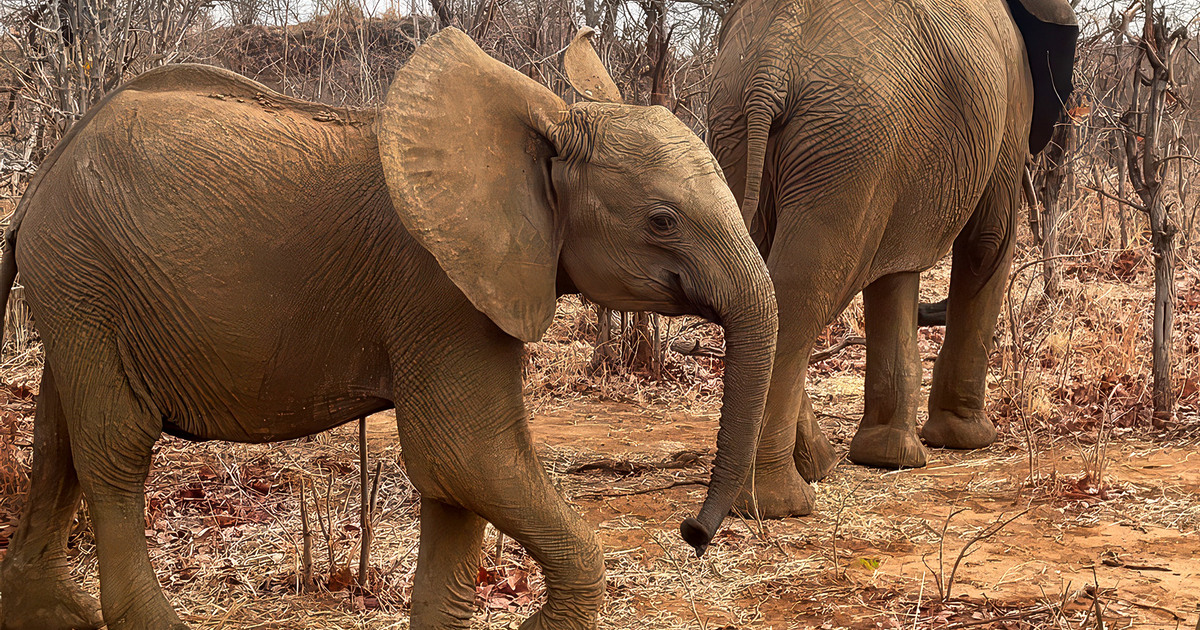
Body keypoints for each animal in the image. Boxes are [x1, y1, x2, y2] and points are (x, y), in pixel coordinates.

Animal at [0, 27, 777, 630]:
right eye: (662, 220)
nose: (693, 532)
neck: (545, 127)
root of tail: (40, 180)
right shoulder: (437, 288)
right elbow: (466, 458)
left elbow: (456, 486)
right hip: (83, 270)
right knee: (116, 448)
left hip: (74, 287)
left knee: (58, 438)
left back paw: (46, 611)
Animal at [706, 0, 1077, 516]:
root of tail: (772, 63)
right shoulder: (1013, 92)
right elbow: (987, 242)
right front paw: (967, 439)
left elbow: (893, 273)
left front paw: (888, 457)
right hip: (846, 138)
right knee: (805, 289)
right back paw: (779, 501)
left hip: (748, 125)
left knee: (760, 284)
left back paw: (817, 466)